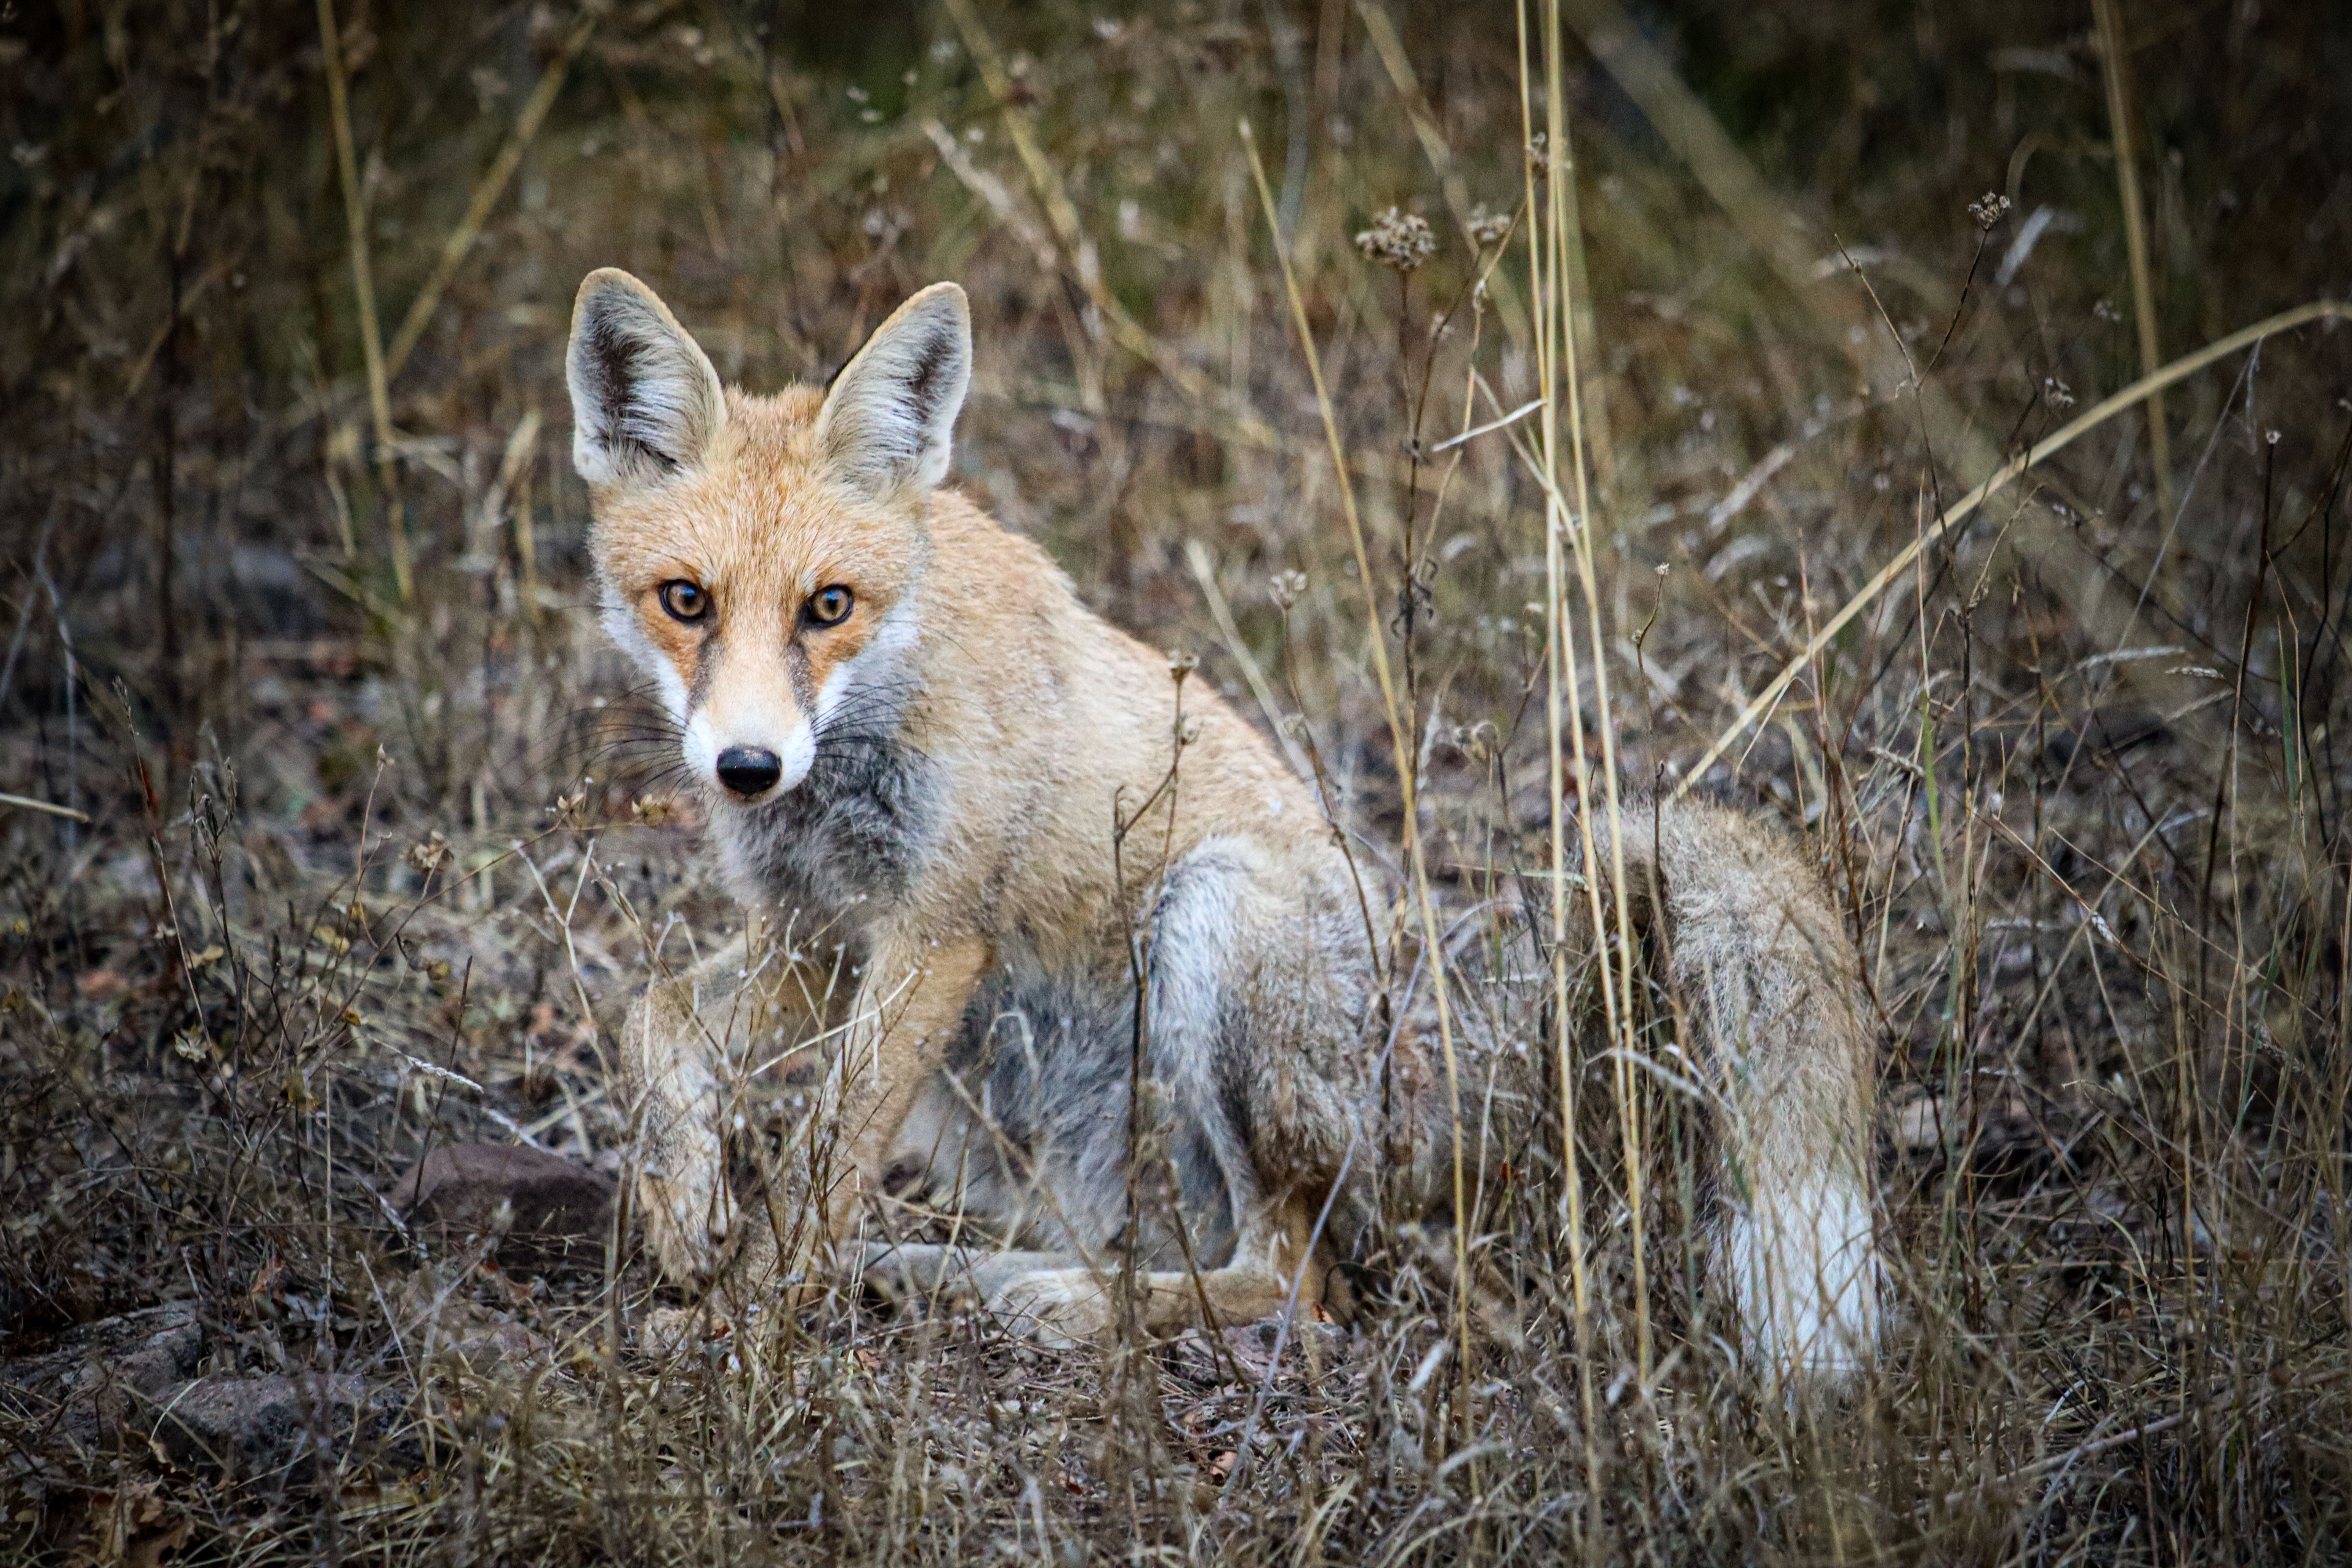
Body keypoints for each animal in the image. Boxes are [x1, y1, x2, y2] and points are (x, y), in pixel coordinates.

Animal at [565, 267, 1885, 1382]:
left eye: (828, 606)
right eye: (687, 601)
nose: (747, 768)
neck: (874, 714)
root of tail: (1468, 1117)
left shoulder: (932, 936)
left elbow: (818, 1169)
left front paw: (743, 1328)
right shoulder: (819, 939)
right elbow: (652, 1018)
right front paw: (687, 1212)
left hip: (1210, 932)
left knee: (1293, 1282)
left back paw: (1061, 1306)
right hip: (1009, 1115)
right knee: (1168, 1246)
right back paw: (957, 1276)